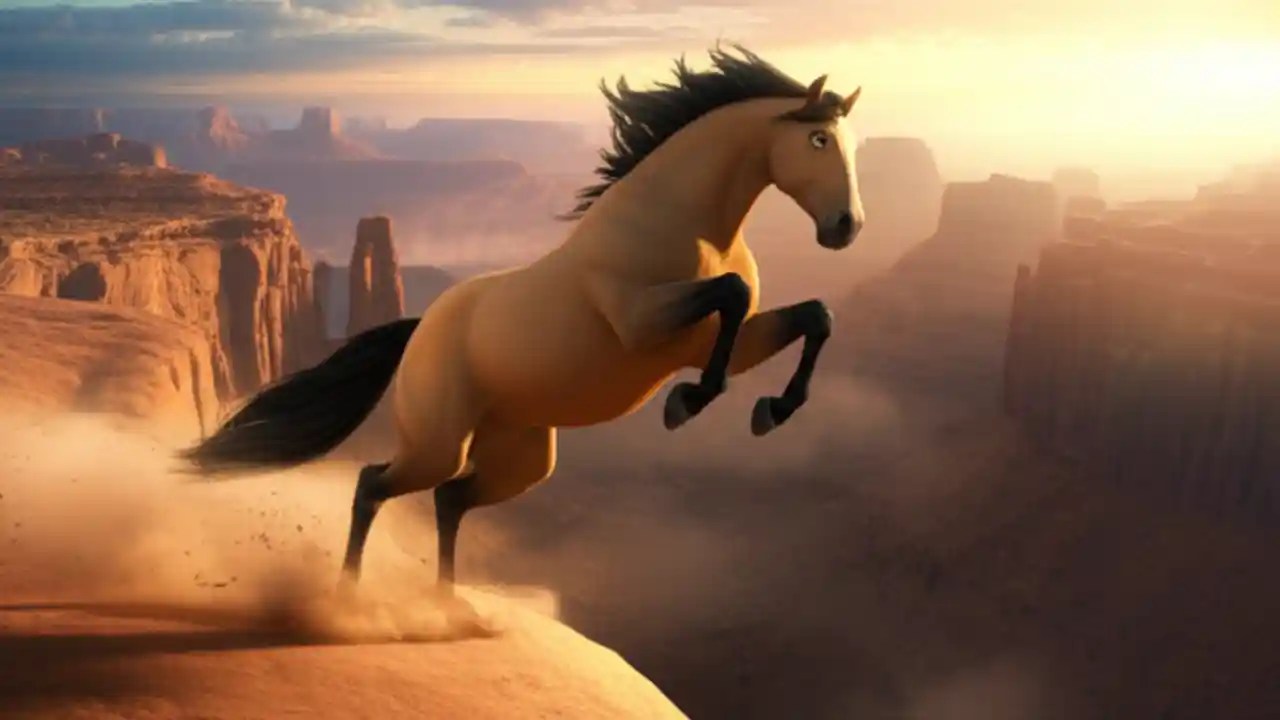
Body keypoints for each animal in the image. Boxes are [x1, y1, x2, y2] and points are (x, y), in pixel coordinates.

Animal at [180, 44, 865, 610]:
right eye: (819, 141)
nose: (846, 228)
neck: (684, 222)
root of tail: (421, 328)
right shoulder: (642, 324)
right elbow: (732, 293)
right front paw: (688, 402)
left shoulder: (713, 340)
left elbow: (813, 315)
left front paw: (770, 409)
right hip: (438, 442)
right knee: (374, 483)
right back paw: (346, 601)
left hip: (524, 458)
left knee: (450, 499)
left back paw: (449, 609)